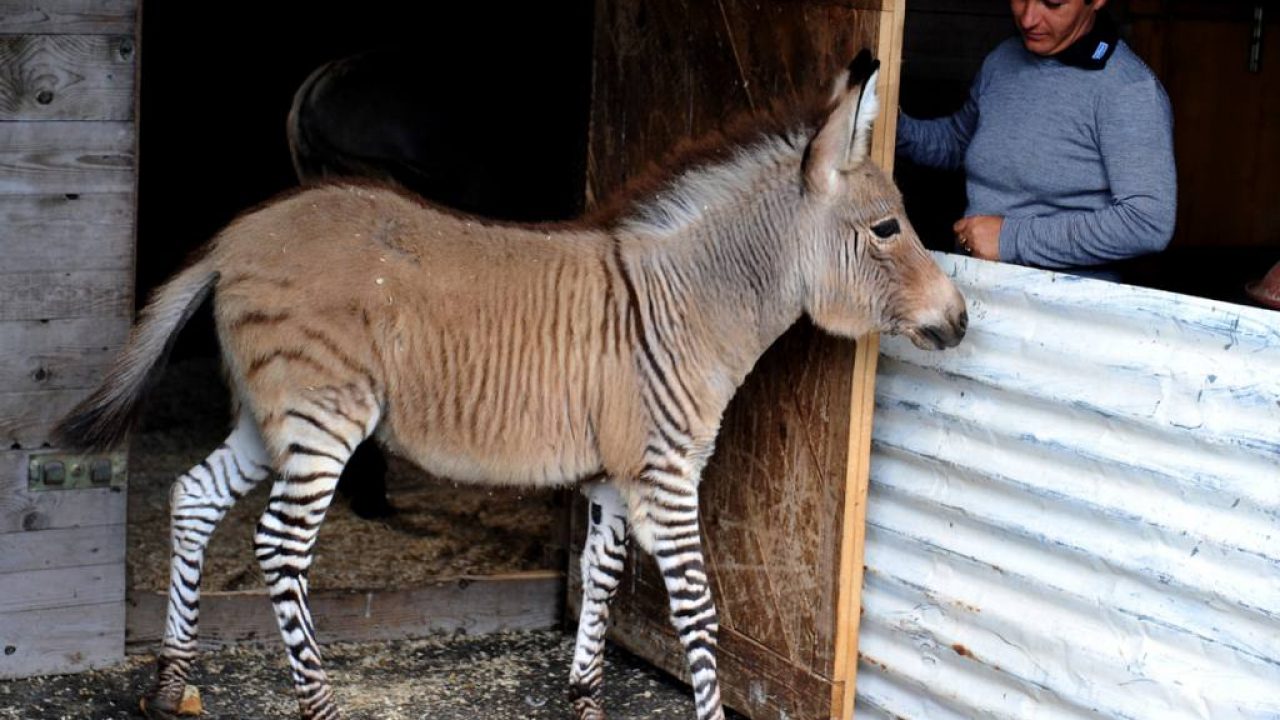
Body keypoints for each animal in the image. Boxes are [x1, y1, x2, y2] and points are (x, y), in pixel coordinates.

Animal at [55, 50, 966, 720]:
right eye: (889, 228)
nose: (962, 320)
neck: (690, 304)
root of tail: (235, 237)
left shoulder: (613, 476)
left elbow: (601, 577)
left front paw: (586, 699)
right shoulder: (667, 476)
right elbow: (698, 612)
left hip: (268, 415)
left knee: (193, 498)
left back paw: (171, 685)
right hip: (321, 416)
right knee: (280, 543)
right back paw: (318, 704)